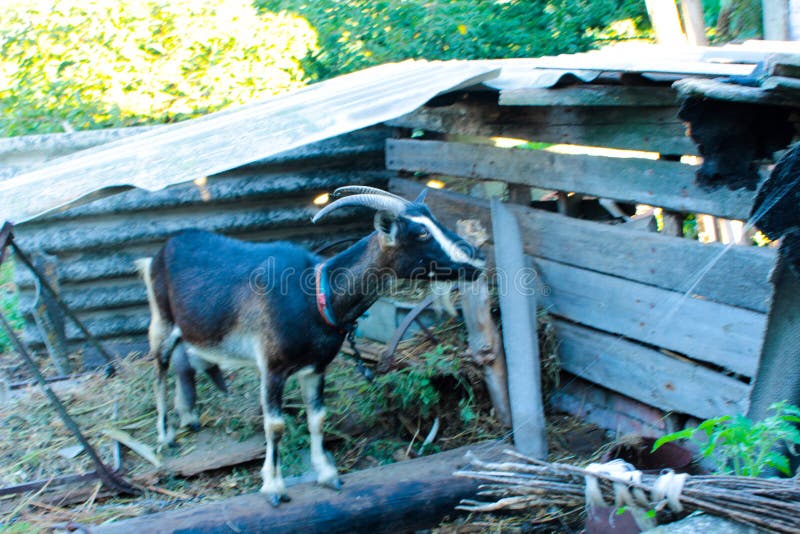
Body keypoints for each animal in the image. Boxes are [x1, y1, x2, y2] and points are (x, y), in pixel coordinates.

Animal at [136, 186, 484, 506]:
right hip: (161, 320)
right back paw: (165, 437)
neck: (317, 294)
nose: (476, 258)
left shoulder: (316, 368)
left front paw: (328, 475)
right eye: (420, 232)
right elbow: (275, 426)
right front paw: (274, 487)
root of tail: (157, 254)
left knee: (184, 358)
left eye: (434, 220)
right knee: (159, 371)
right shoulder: (272, 368)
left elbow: (317, 418)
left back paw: (188, 417)